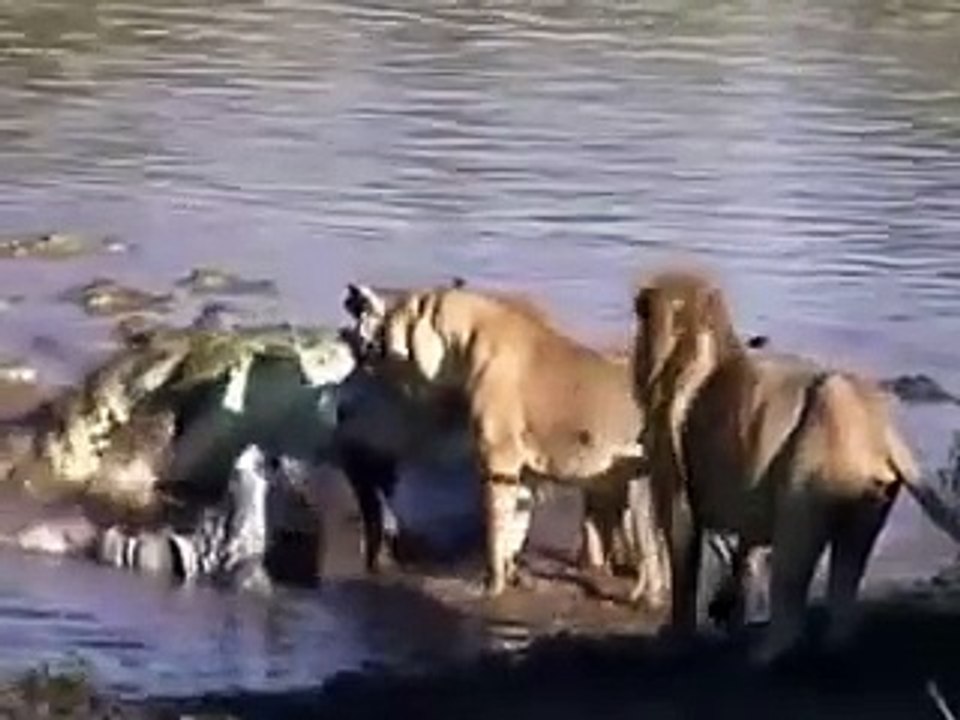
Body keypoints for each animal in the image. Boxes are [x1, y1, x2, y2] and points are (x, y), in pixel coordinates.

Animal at [631, 269, 960, 665]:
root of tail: (879, 430)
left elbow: (682, 541)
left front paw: (676, 639)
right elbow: (746, 544)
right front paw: (729, 613)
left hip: (809, 476)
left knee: (793, 564)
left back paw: (763, 654)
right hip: (869, 495)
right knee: (848, 565)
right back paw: (835, 645)